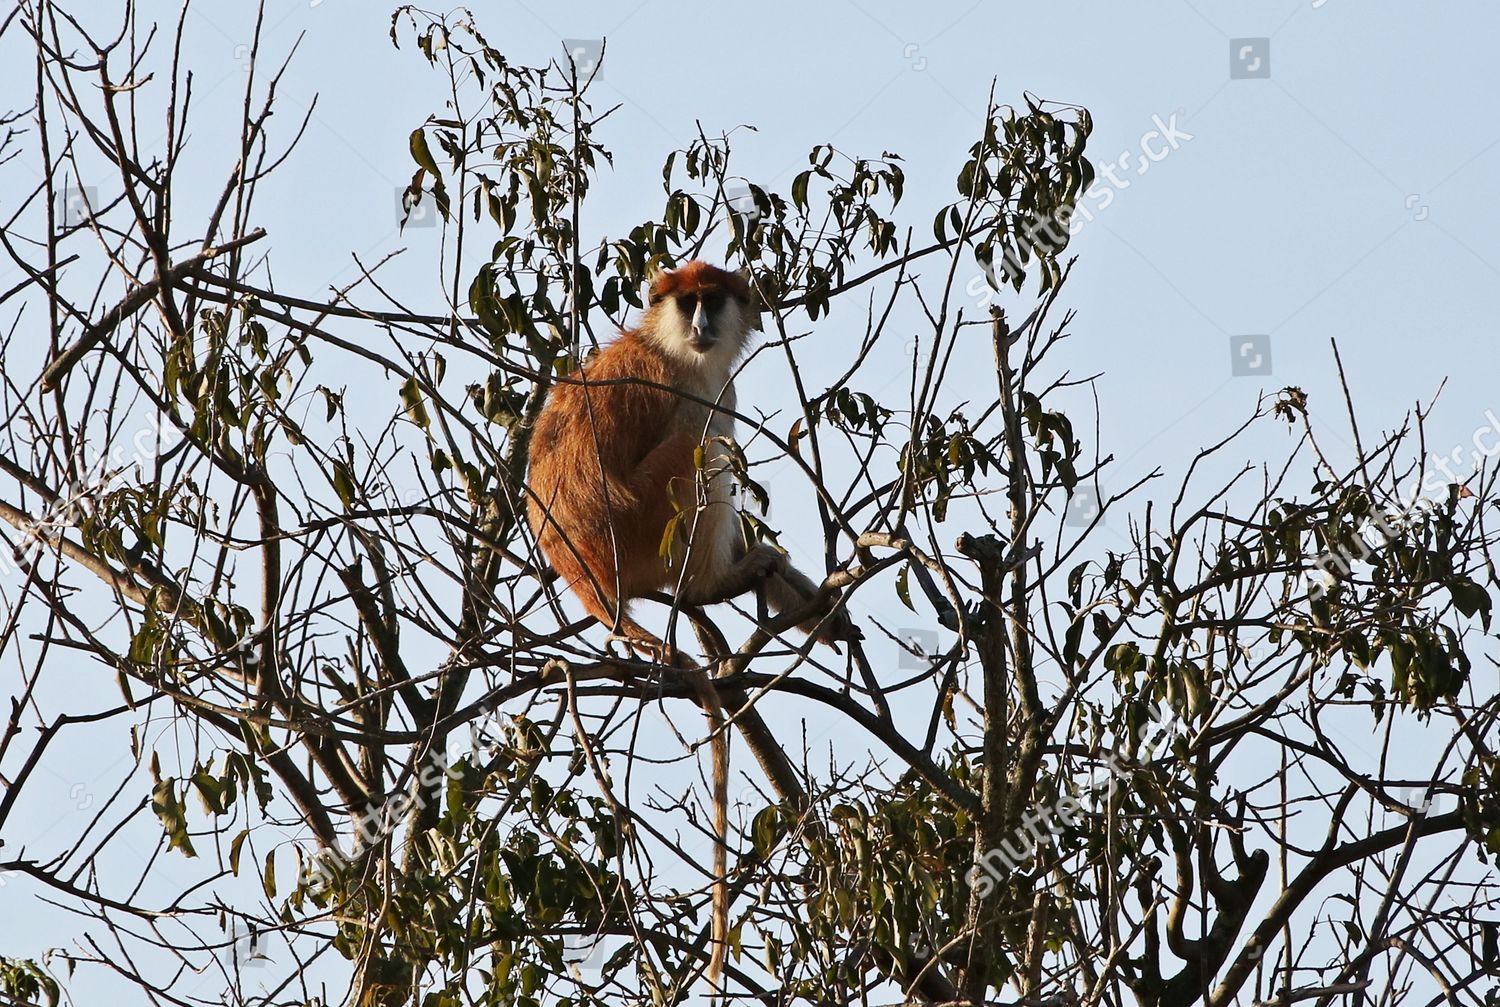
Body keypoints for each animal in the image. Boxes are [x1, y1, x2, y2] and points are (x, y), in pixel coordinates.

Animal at [525, 260, 858, 989]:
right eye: (686, 303)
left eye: (713, 300)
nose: (703, 323)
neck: (673, 347)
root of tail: (587, 574)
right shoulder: (680, 386)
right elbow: (703, 436)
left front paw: (824, 614)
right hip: (637, 523)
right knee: (700, 444)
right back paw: (712, 584)